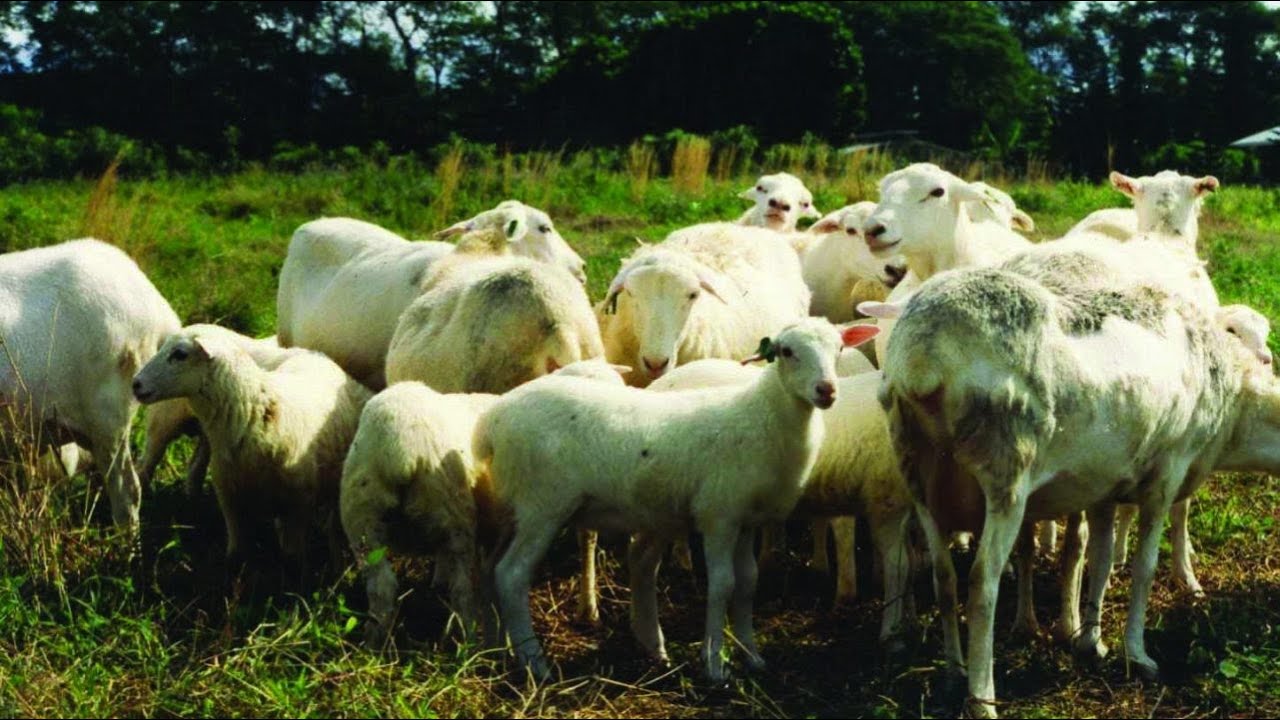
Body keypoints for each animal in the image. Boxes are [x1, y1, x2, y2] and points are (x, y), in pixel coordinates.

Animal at [340, 360, 628, 646]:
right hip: (455, 516)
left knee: (382, 587)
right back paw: (467, 642)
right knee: (462, 589)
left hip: (361, 520)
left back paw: (374, 643)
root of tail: (398, 447)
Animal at [475, 318, 880, 683]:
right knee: (511, 574)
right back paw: (534, 663)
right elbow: (723, 583)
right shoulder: (719, 516)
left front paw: (752, 656)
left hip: (513, 506)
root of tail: (494, 418)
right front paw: (715, 664)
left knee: (490, 568)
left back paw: (496, 648)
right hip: (542, 505)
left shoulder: (746, 519)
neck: (762, 417)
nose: (826, 390)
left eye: (838, 349)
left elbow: (748, 582)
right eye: (786, 352)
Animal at [881, 249, 1280, 718]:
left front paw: (1091, 641)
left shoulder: (1106, 486)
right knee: (981, 585)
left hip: (918, 472)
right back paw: (982, 697)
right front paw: (1137, 654)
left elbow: (1101, 560)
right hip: (1006, 471)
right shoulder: (1165, 476)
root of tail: (922, 358)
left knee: (944, 578)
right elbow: (1143, 568)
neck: (1233, 404)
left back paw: (952, 674)